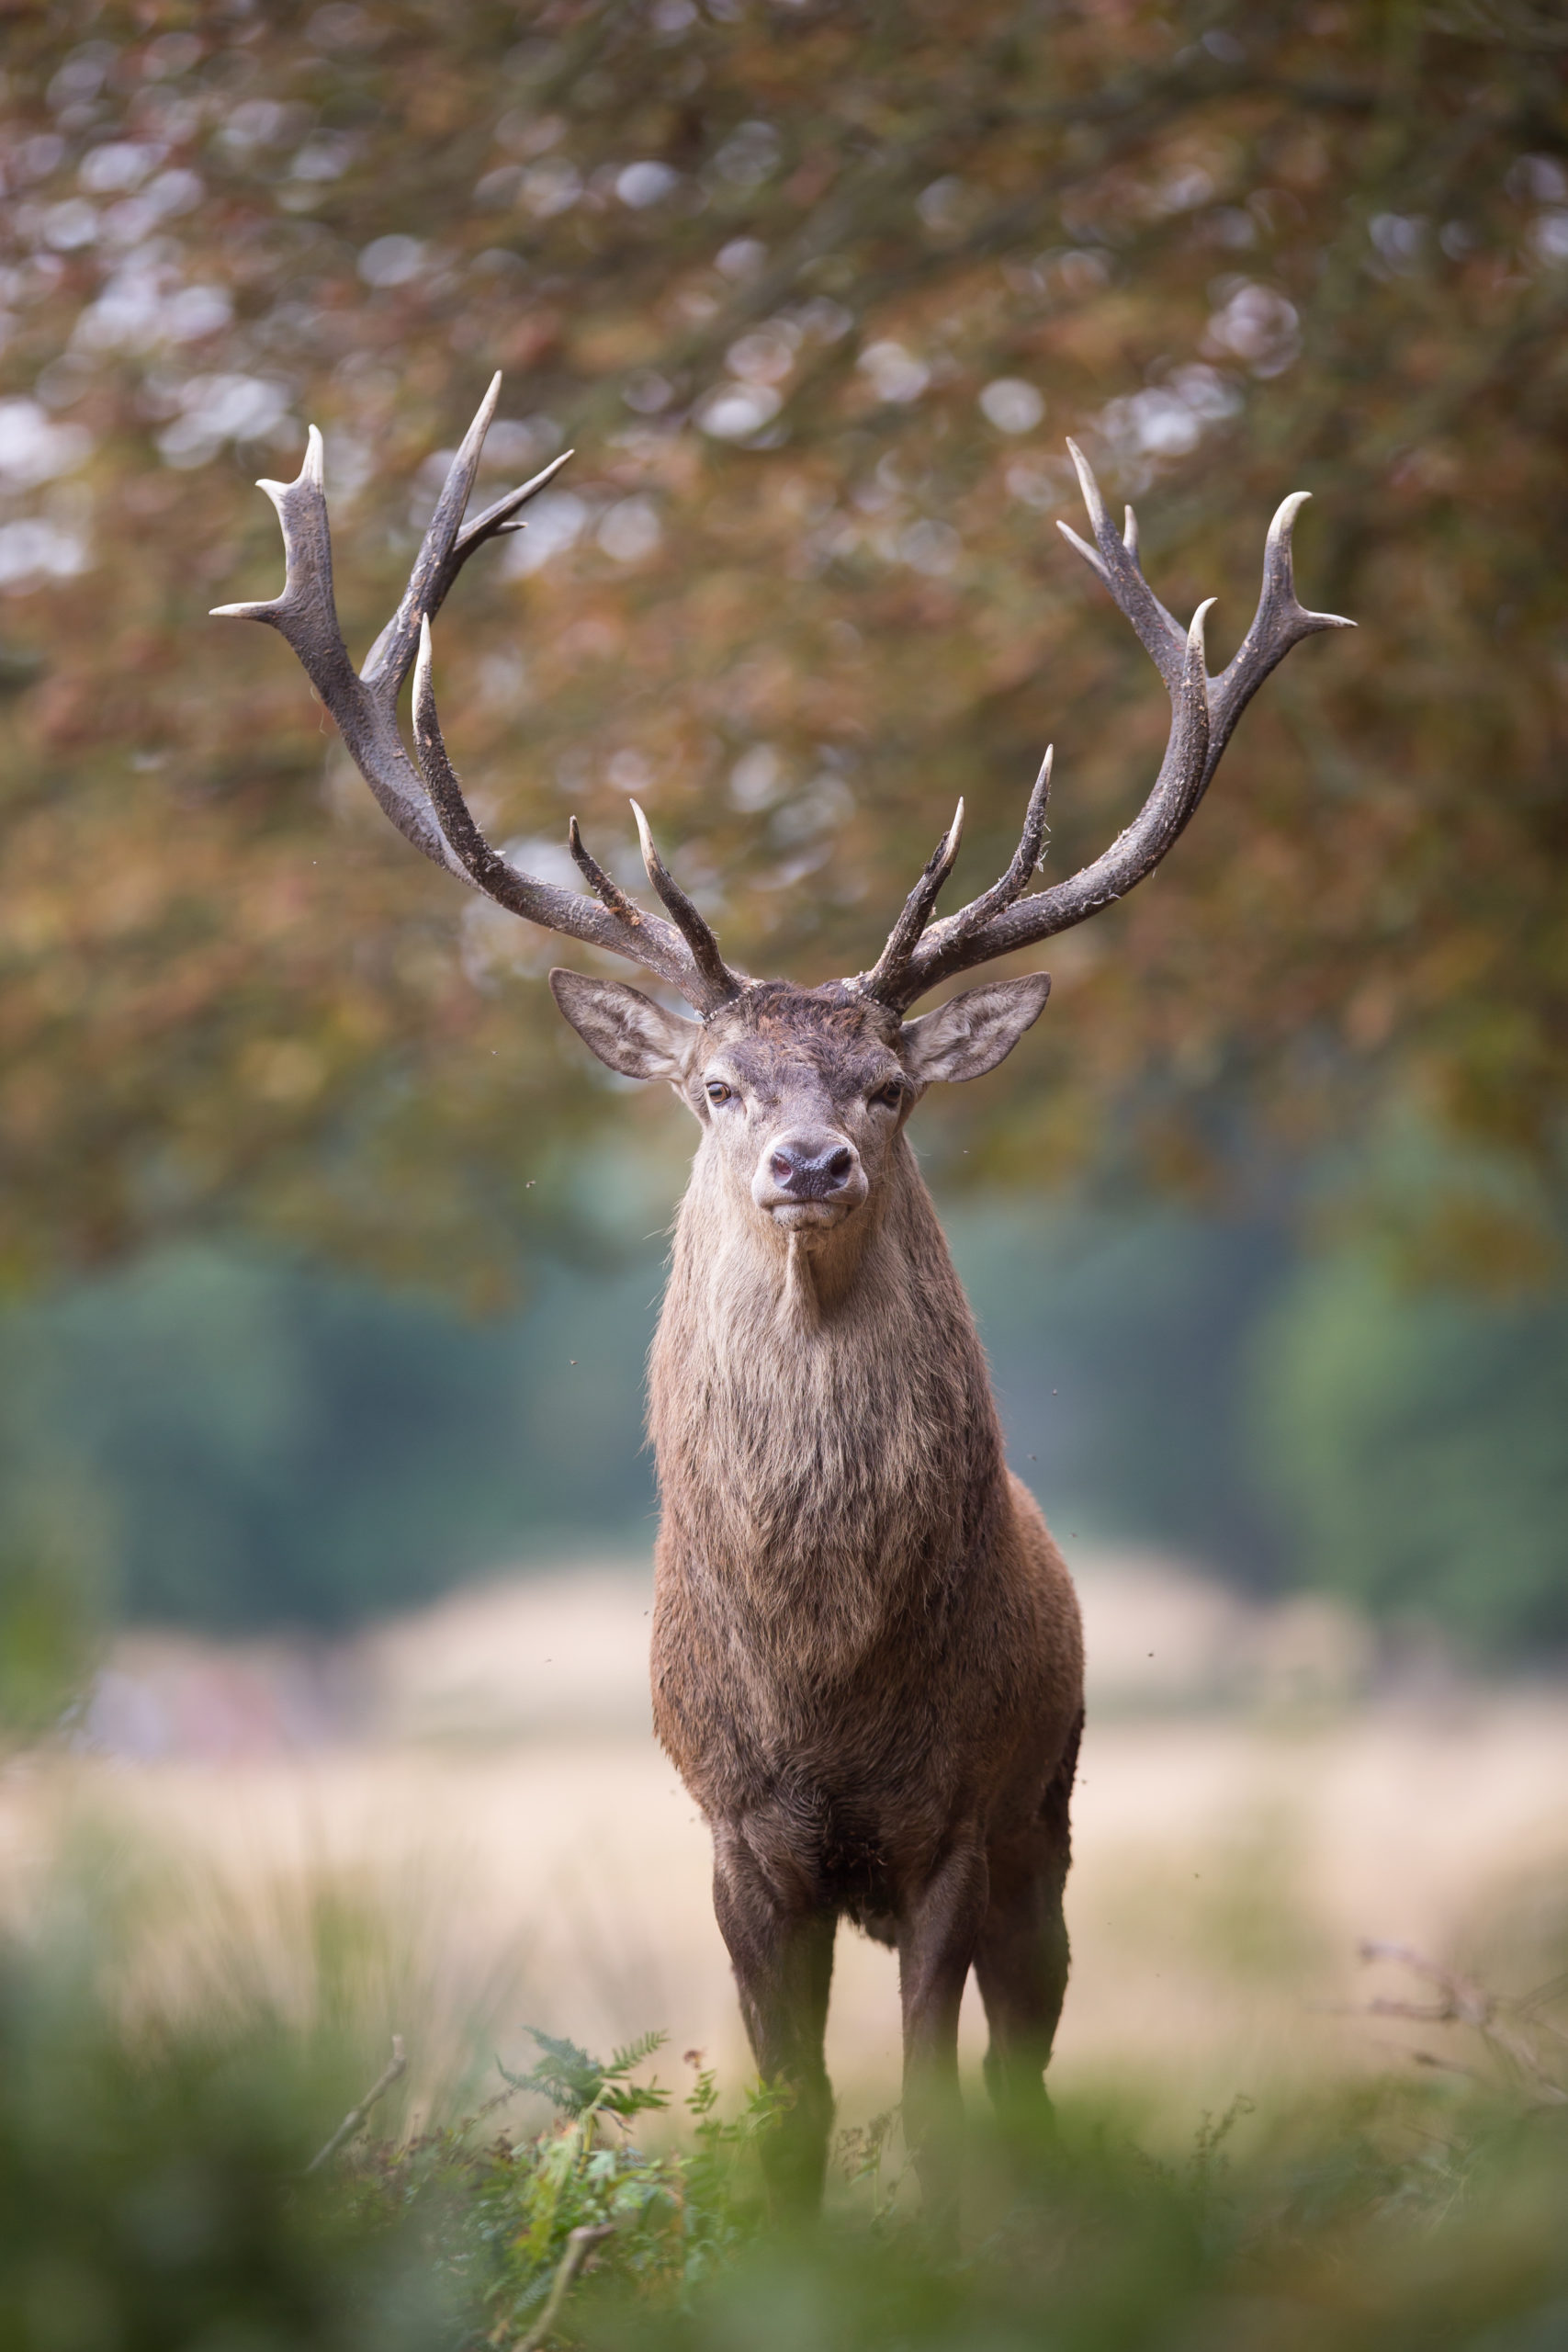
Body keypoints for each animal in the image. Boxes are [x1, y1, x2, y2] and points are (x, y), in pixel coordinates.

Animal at [214, 374, 1349, 2227]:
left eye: (889, 1085)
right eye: (716, 1085)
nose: (809, 1162)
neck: (825, 1672)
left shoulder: (957, 1811)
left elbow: (941, 2092)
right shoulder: (738, 1832)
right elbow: (789, 2104)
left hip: (1054, 1810)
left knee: (1028, 2052)